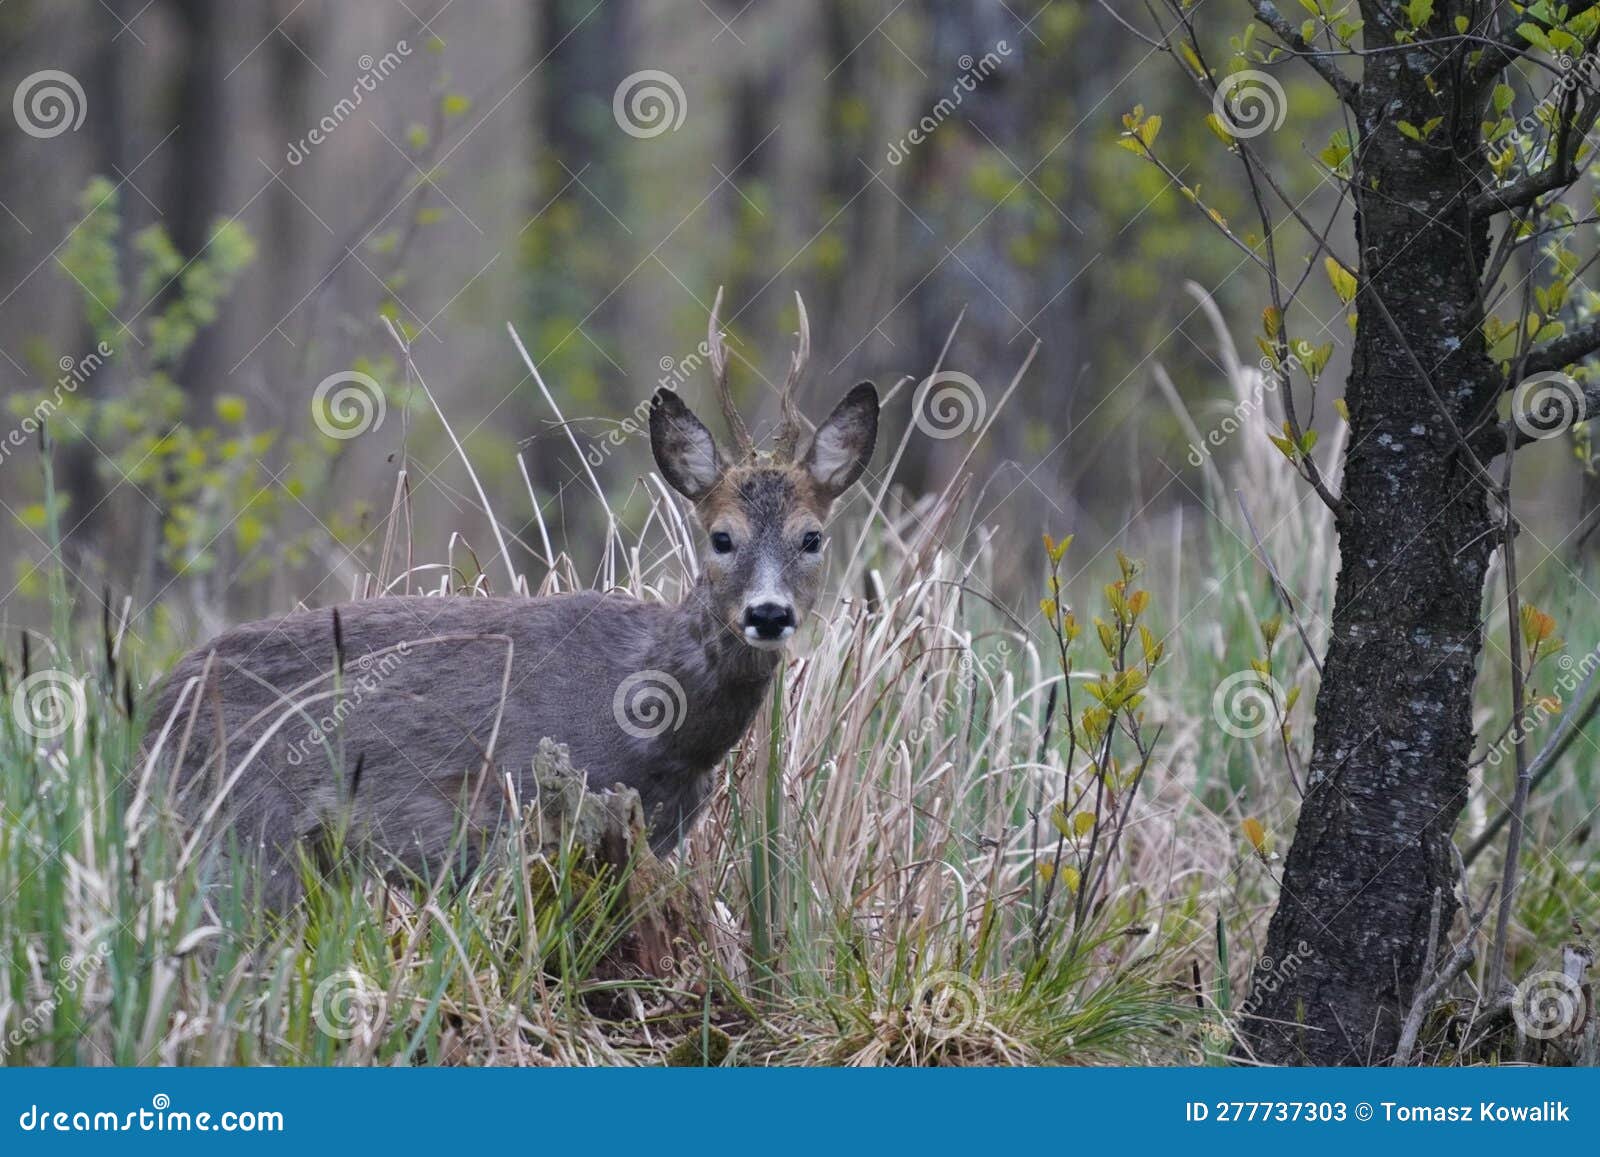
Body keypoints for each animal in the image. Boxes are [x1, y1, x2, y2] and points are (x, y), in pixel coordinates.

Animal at [143, 292, 878, 909]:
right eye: (722, 537)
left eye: (812, 537)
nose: (768, 613)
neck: (655, 714)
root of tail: (149, 710)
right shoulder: (510, 816)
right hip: (241, 836)